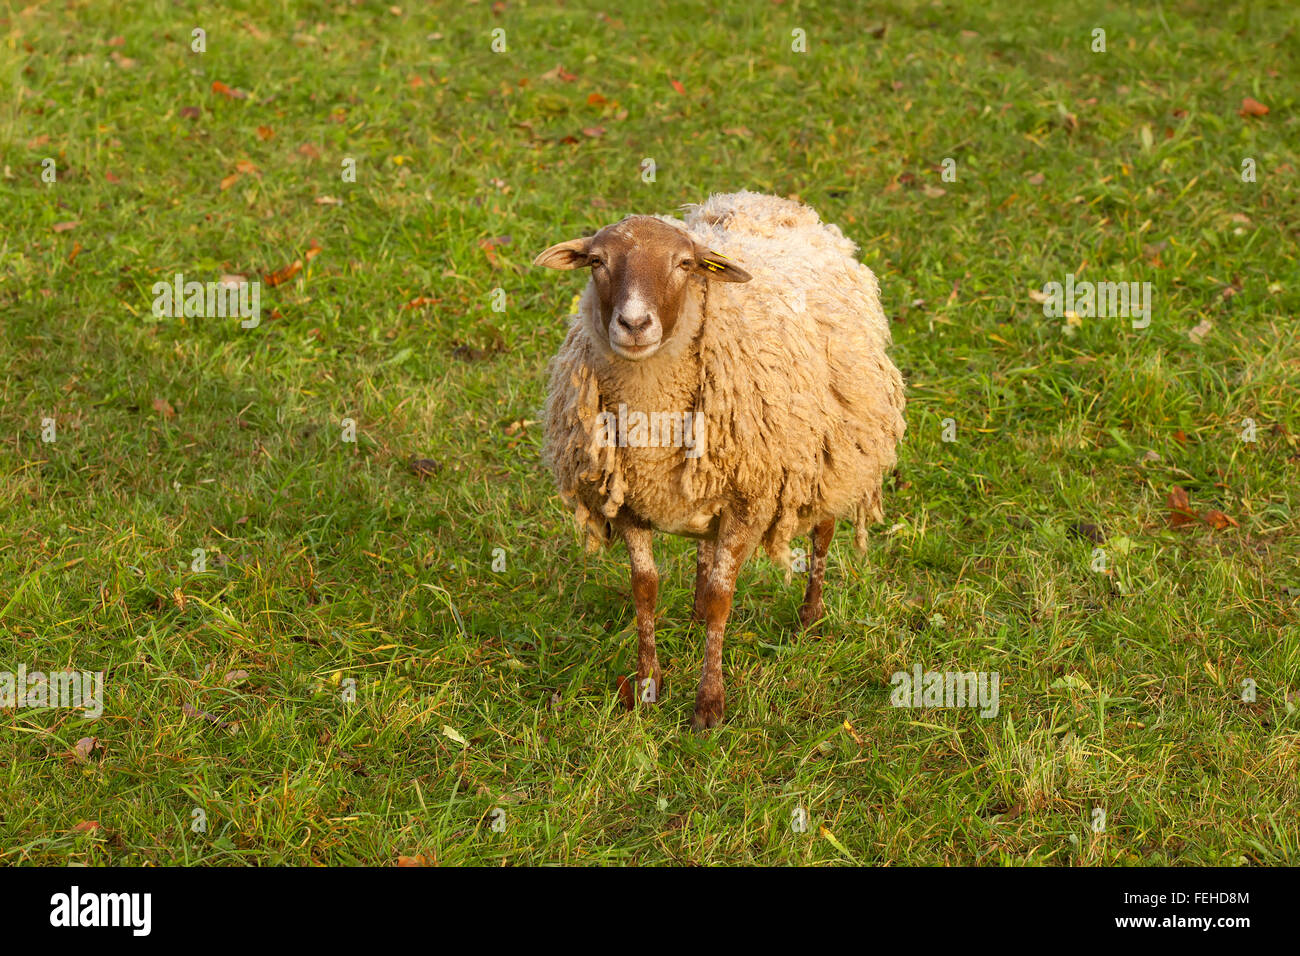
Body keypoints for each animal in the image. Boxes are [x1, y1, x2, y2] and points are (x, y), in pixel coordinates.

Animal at [535, 190, 906, 729]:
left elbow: (720, 599)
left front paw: (709, 703)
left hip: (831, 449)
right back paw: (692, 613)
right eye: (597, 262)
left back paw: (810, 617)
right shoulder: (626, 501)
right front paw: (647, 685)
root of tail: (766, 201)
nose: (634, 324)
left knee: (822, 531)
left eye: (684, 264)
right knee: (706, 551)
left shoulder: (748, 502)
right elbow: (644, 589)